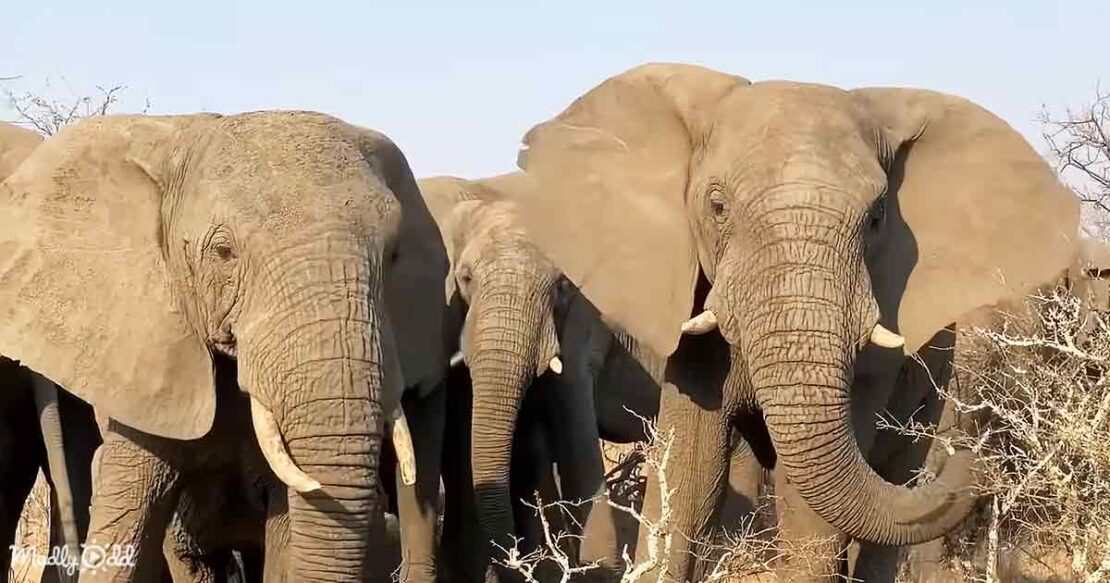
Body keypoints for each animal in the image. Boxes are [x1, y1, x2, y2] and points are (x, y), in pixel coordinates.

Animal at [506, 63, 1080, 581]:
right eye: (717, 206)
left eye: (877, 218)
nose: (975, 458)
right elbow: (690, 471)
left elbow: (806, 504)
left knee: (892, 487)